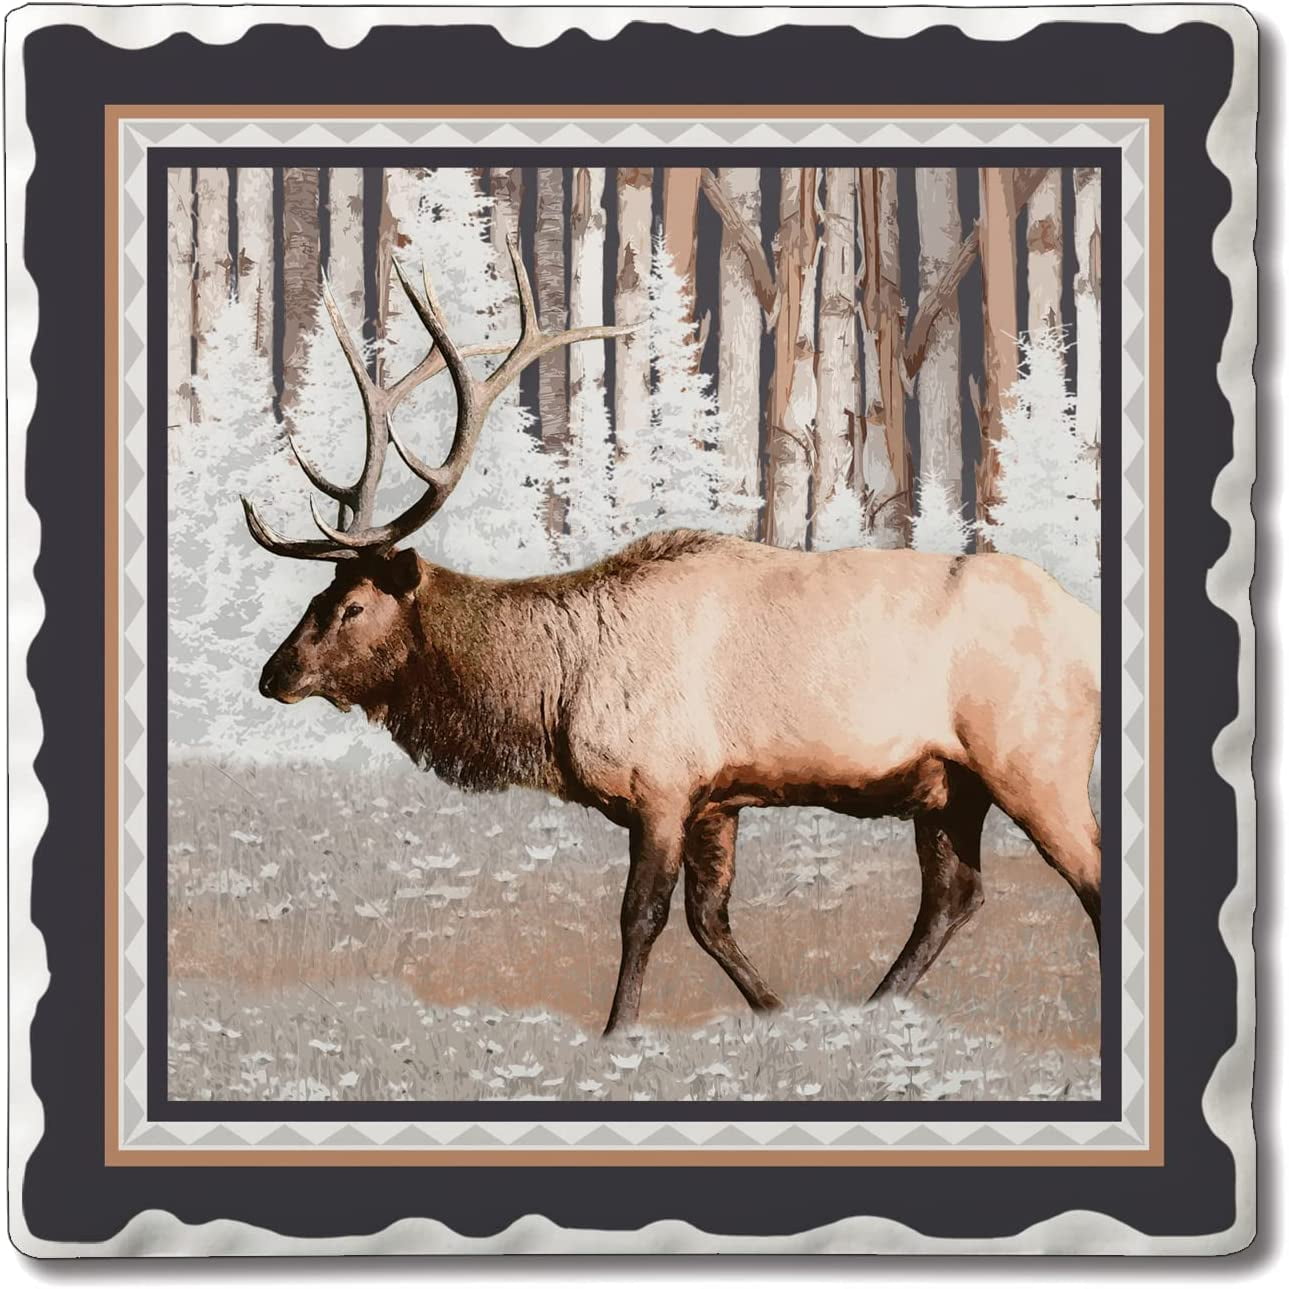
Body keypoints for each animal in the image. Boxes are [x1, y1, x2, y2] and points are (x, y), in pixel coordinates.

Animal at [243, 240, 1102, 1037]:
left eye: (352, 606)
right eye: (318, 595)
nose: (272, 675)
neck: (555, 694)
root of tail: (1088, 626)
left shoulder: (659, 783)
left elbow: (642, 917)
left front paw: (616, 1030)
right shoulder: (716, 796)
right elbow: (709, 917)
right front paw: (775, 1009)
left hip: (1033, 761)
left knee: (1086, 879)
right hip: (950, 783)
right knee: (953, 894)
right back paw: (870, 1007)